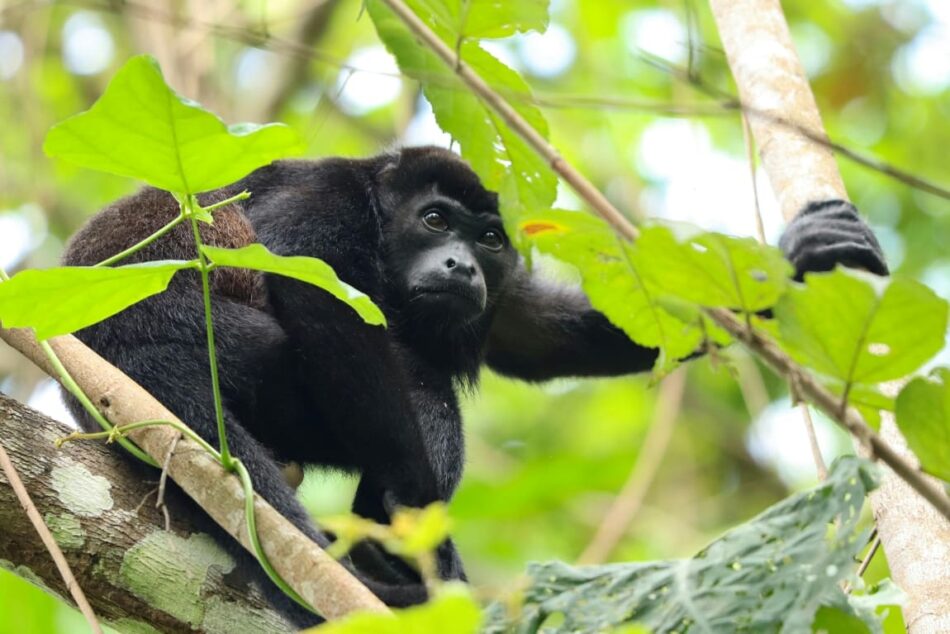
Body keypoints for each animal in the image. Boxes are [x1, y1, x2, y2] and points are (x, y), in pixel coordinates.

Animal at [60, 146, 887, 626]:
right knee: (416, 385)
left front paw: (795, 263)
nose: (461, 264)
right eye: (435, 221)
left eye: (488, 238)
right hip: (212, 348)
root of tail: (105, 364)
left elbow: (537, 336)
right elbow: (320, 301)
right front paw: (423, 531)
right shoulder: (322, 198)